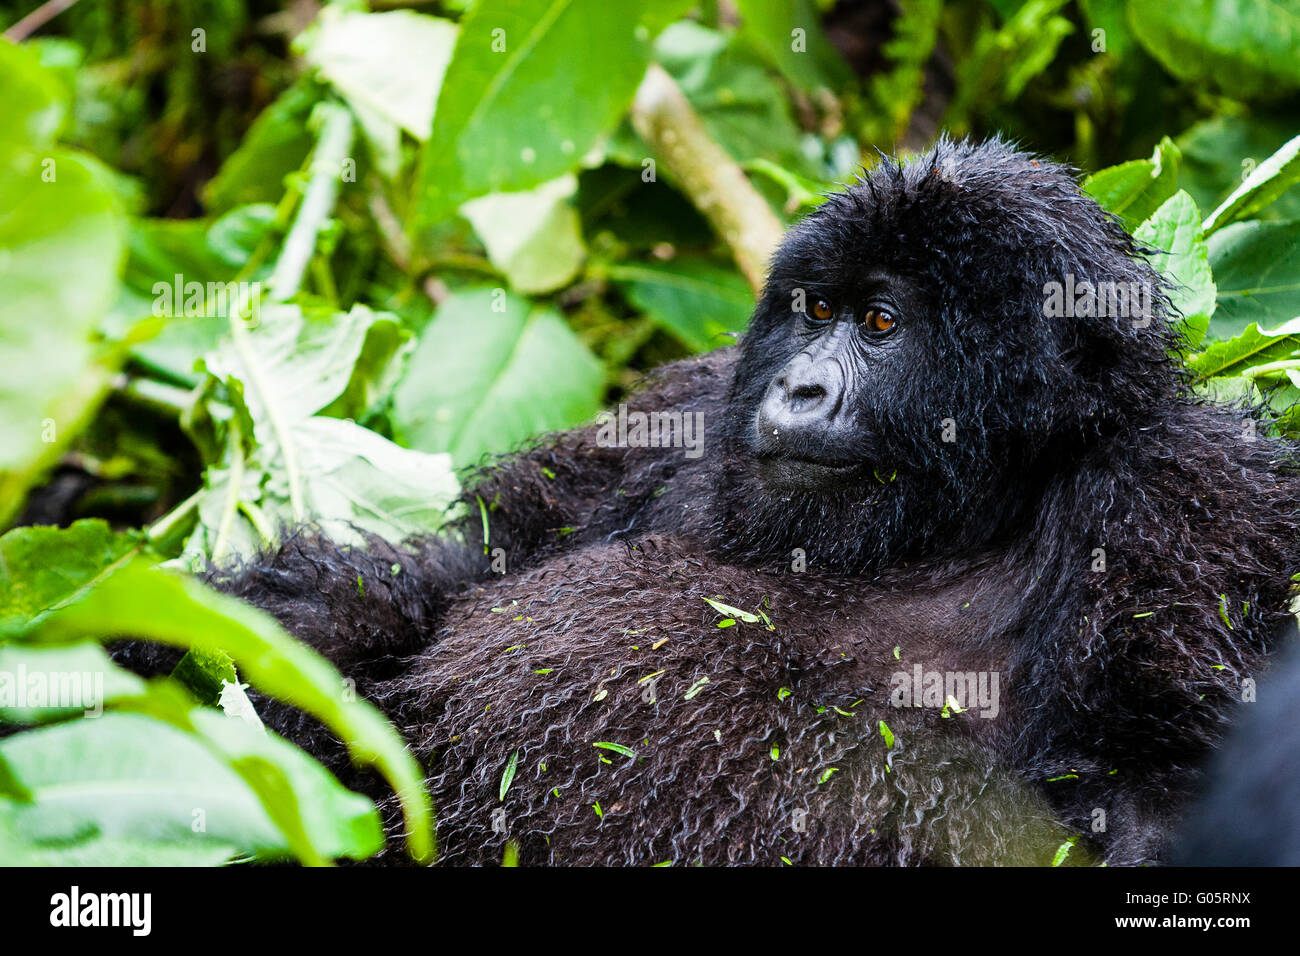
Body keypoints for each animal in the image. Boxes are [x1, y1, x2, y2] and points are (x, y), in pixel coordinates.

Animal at [197, 136, 1300, 868]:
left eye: (881, 322)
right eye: (816, 309)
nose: (799, 387)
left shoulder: (1189, 495)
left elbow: (1152, 795)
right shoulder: (680, 408)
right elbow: (460, 568)